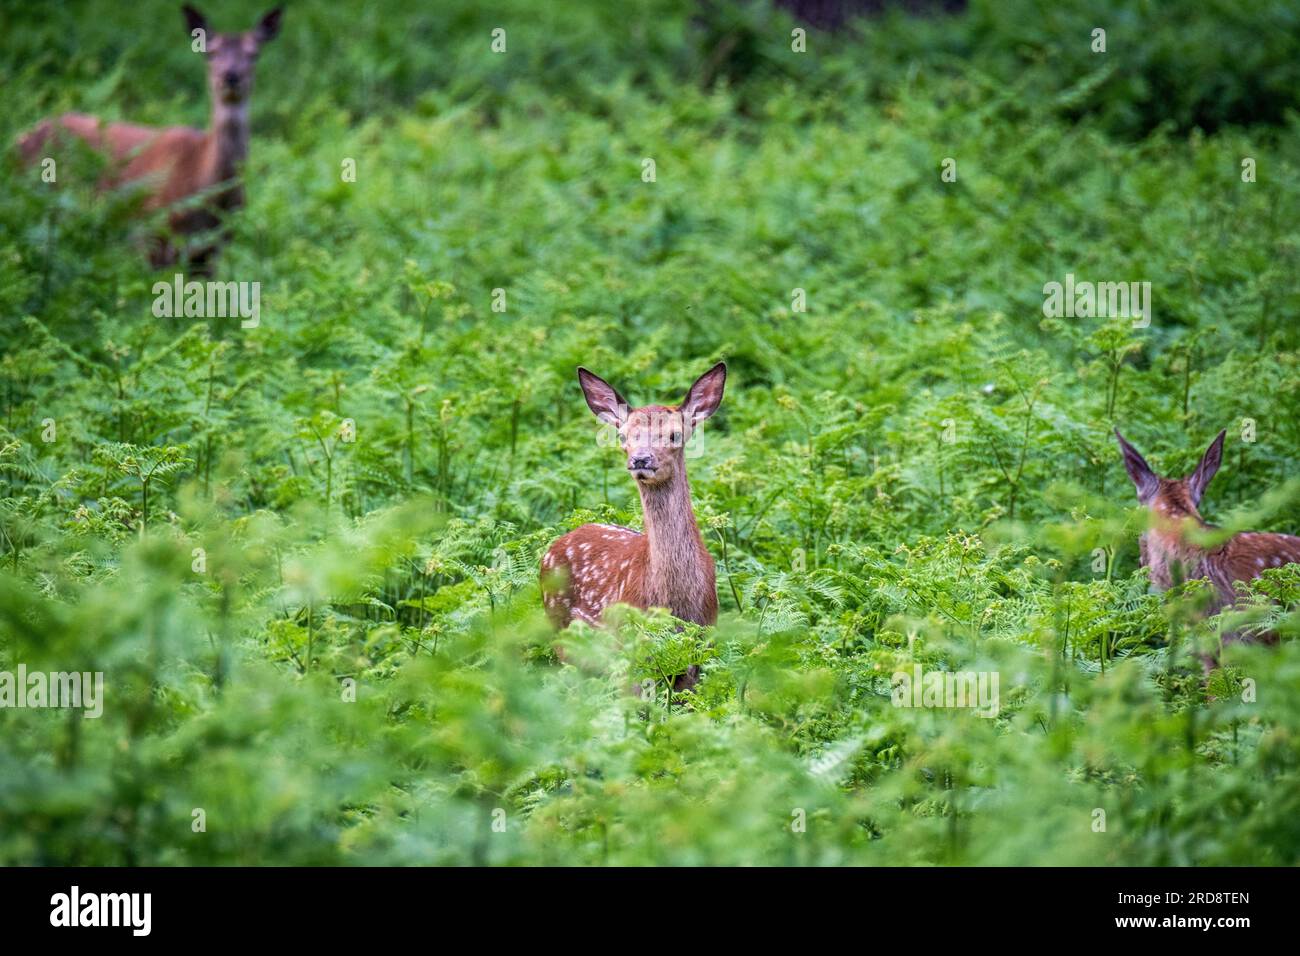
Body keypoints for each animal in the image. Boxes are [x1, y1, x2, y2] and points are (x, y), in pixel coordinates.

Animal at [16, 5, 283, 275]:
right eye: (210, 53)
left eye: (254, 53)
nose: (231, 76)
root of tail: (20, 140)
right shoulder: (149, 232)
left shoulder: (215, 248)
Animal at [540, 363, 727, 691]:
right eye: (623, 435)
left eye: (674, 434)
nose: (641, 459)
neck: (675, 604)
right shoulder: (629, 646)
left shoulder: (701, 644)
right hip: (560, 624)